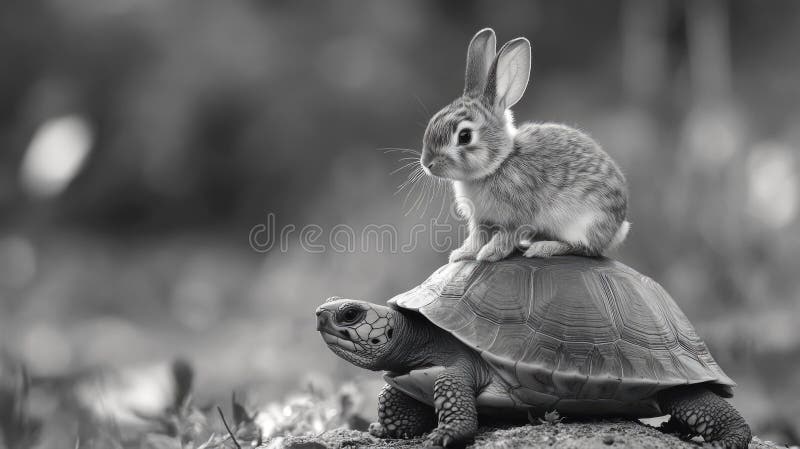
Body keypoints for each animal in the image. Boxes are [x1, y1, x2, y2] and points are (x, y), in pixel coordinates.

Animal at [420, 28, 629, 263]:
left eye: (464, 136)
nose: (427, 163)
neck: (498, 164)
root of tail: (618, 227)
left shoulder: (516, 217)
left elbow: (506, 237)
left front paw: (489, 254)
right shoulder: (481, 220)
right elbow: (477, 237)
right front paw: (462, 254)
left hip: (585, 222)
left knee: (584, 248)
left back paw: (543, 248)